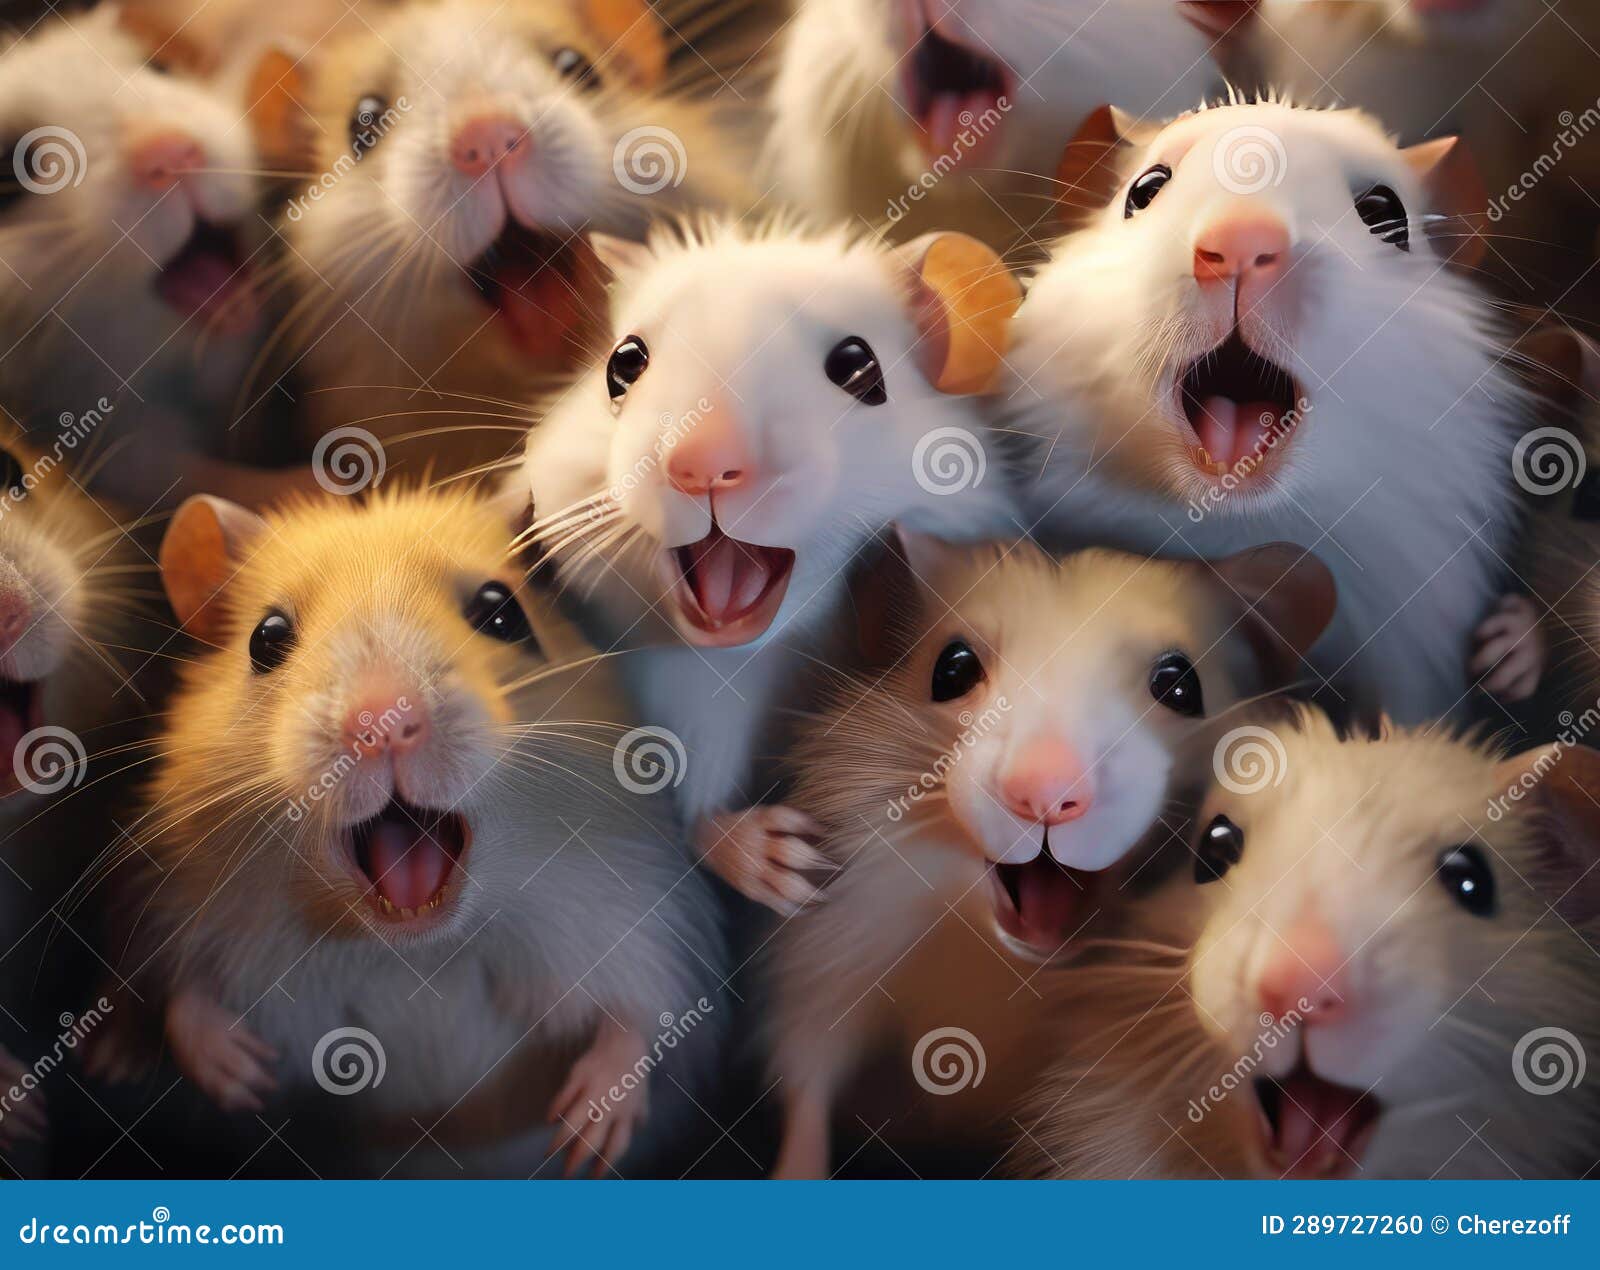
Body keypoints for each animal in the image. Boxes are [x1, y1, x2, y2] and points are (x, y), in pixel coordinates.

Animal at [95, 487, 726, 1178]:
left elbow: (637, 1018)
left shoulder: (637, 918)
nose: (383, 723)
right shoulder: (181, 903)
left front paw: (584, 1133)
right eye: (266, 640)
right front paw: (241, 1076)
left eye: (502, 613)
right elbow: (182, 999)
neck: (418, 952)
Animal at [519, 217, 1023, 913]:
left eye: (857, 367)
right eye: (623, 364)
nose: (701, 466)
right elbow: (694, 819)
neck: (758, 657)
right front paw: (786, 860)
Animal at [764, 534, 1336, 1178]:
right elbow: (808, 1074)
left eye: (1181, 686)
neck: (1019, 962)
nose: (1044, 796)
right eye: (952, 669)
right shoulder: (832, 955)